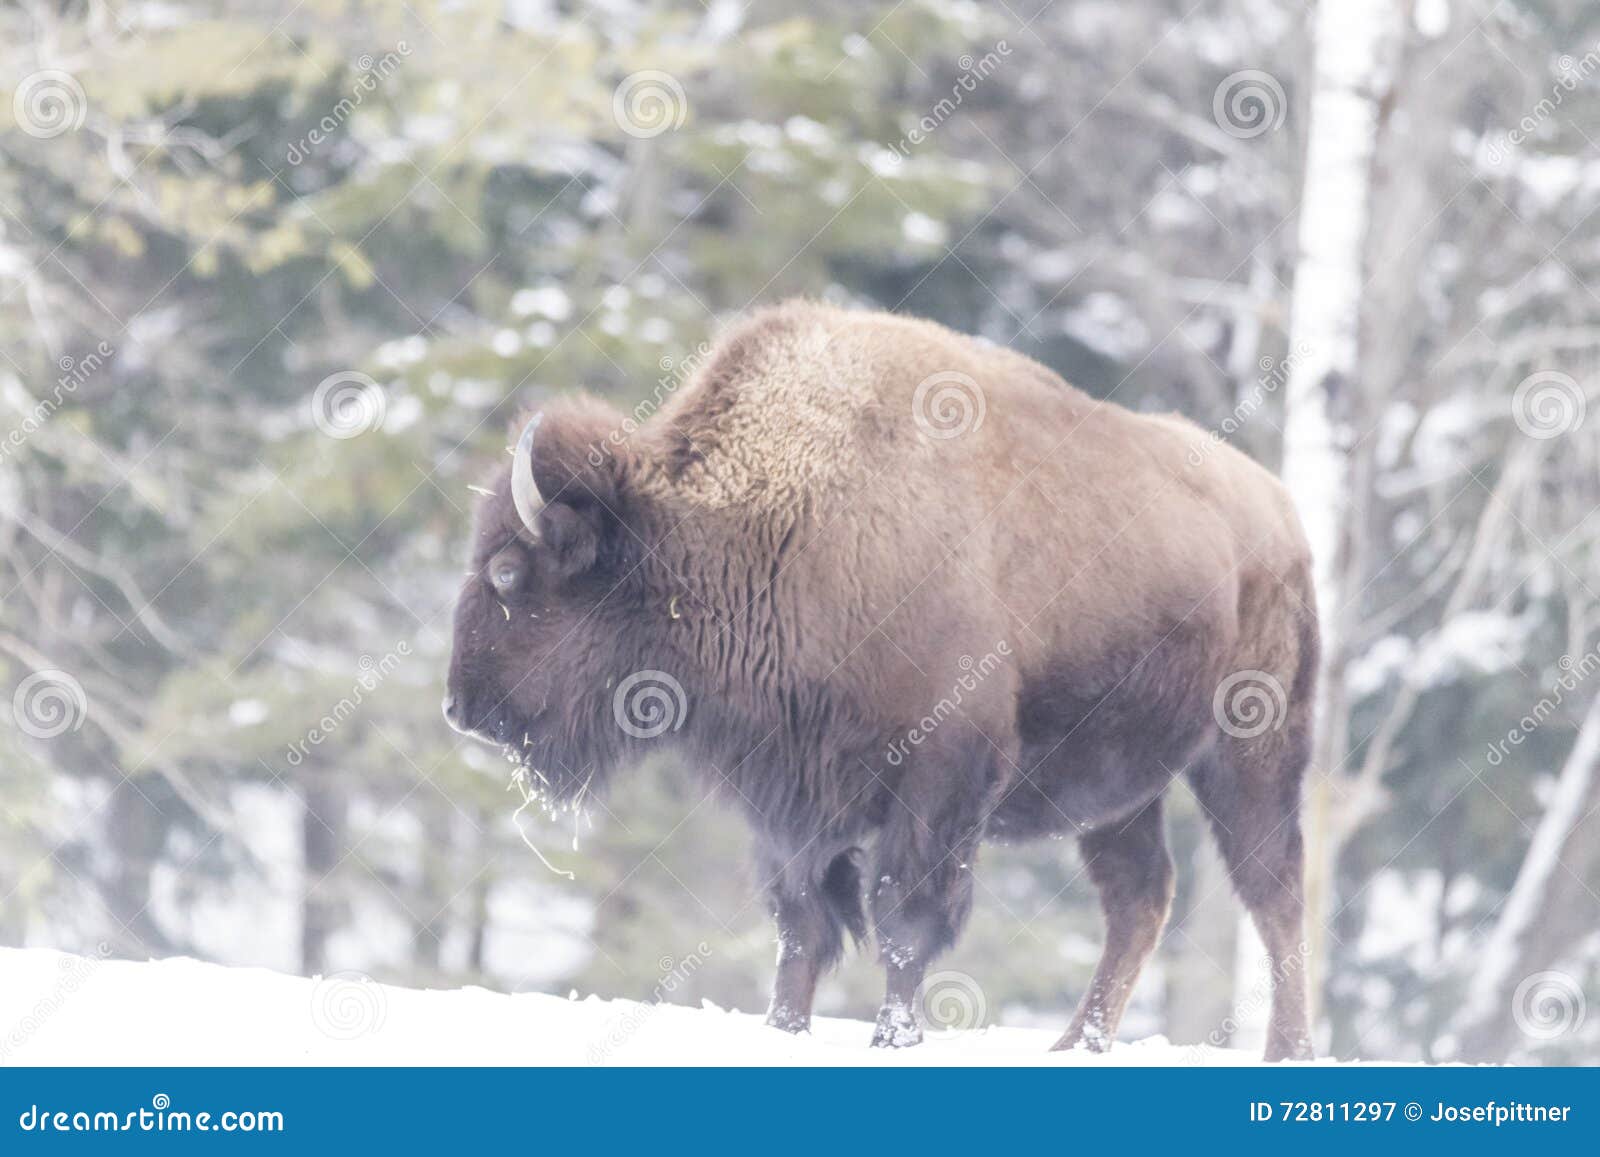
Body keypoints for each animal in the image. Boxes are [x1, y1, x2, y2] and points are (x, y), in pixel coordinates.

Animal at [444, 300, 1318, 1059]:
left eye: (509, 572)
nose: (459, 707)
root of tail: (1280, 511)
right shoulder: (792, 801)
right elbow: (803, 926)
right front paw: (784, 1029)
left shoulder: (937, 781)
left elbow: (904, 920)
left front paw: (892, 1039)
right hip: (1121, 789)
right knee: (1141, 897)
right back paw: (1075, 1045)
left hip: (1251, 752)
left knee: (1274, 890)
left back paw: (1285, 1050)